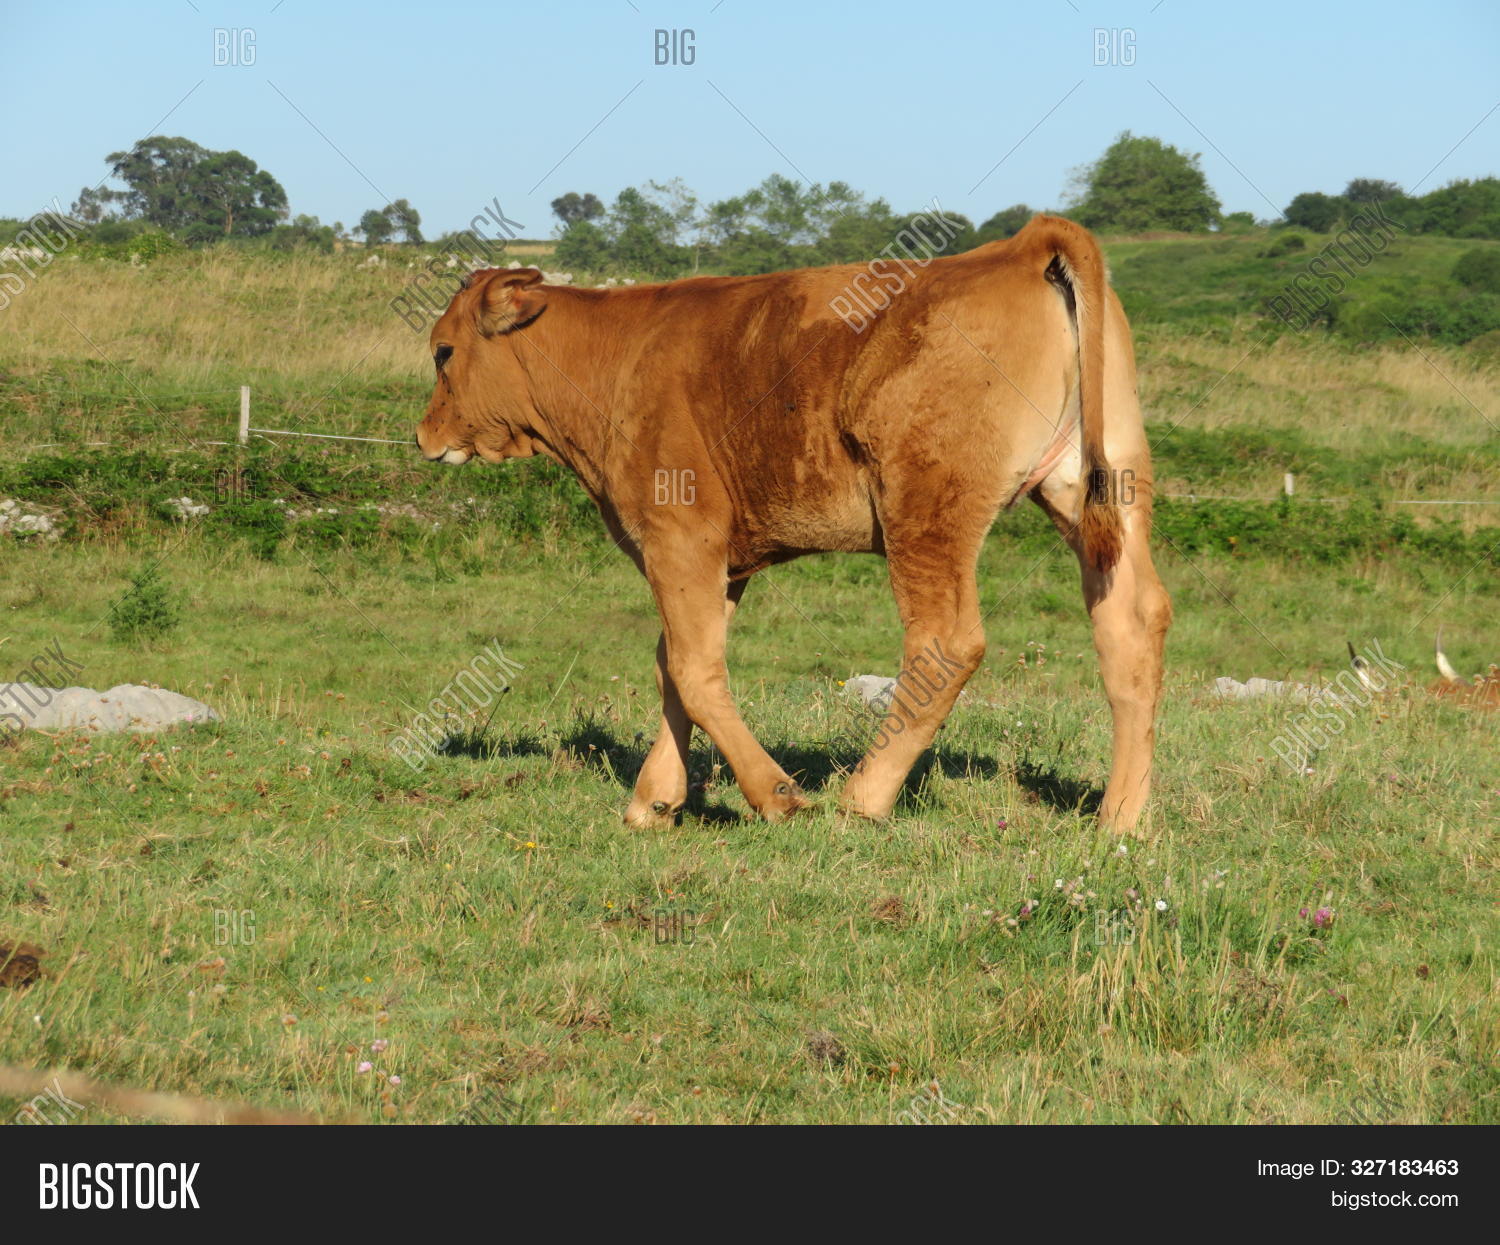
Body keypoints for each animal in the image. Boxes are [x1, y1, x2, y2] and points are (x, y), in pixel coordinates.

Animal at [415, 214, 1172, 834]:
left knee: (946, 642)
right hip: (1105, 488)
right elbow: (674, 665)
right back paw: (1120, 817)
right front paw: (656, 798)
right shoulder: (718, 558)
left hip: (925, 508)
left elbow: (692, 669)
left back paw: (863, 796)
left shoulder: (678, 535)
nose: (424, 434)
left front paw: (772, 794)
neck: (616, 357)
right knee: (1132, 622)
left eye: (443, 351)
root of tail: (1019, 245)